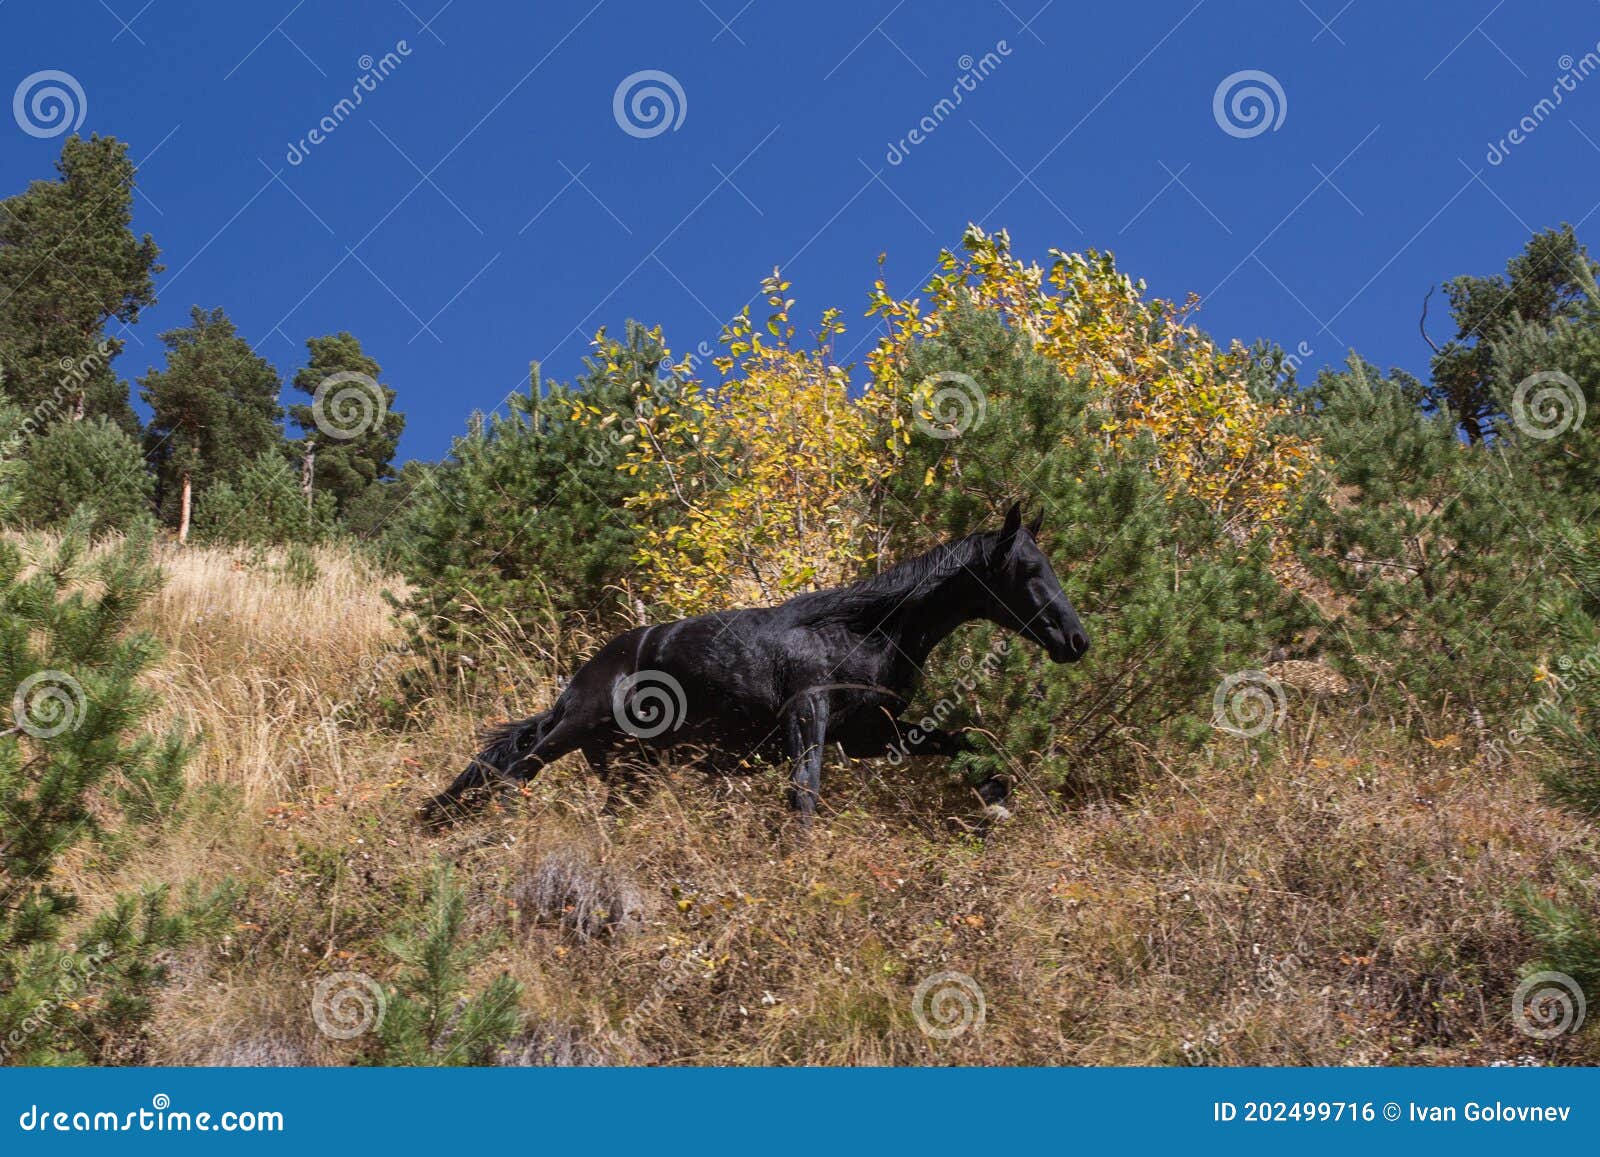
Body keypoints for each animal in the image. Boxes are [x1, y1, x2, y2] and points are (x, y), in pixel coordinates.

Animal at [422, 501, 1090, 824]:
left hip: (629, 769)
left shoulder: (871, 734)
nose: (1076, 640)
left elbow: (959, 740)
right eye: (1029, 569)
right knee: (515, 770)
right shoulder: (808, 715)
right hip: (577, 728)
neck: (862, 629)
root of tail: (581, 676)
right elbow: (805, 794)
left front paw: (996, 795)